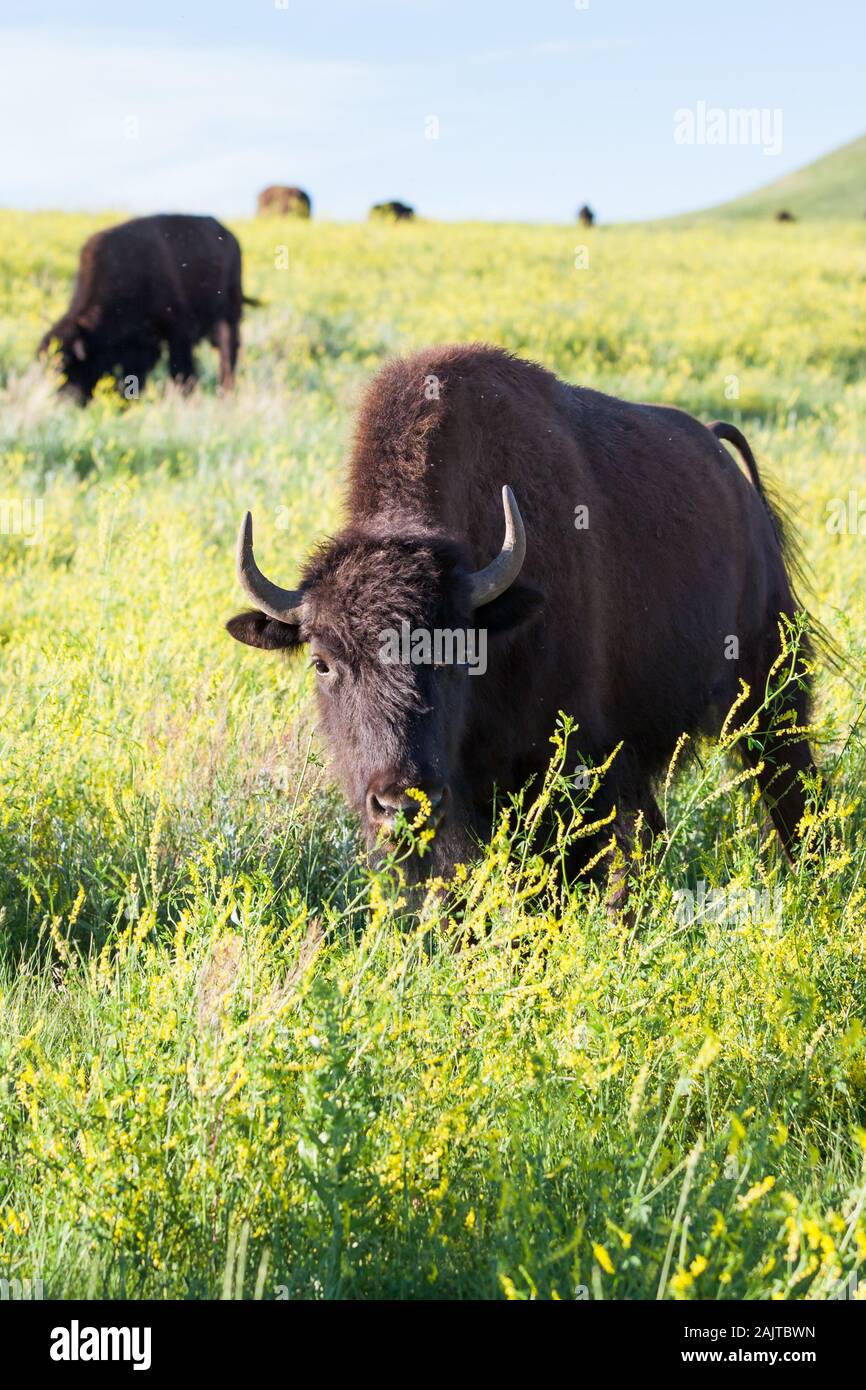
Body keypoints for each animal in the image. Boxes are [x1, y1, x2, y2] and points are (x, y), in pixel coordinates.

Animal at [39, 214, 254, 403]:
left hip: (229, 315)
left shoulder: (178, 330)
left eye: (72, 366)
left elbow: (180, 368)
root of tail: (230, 237)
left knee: (228, 352)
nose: (67, 399)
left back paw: (226, 391)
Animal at [227, 345, 818, 898]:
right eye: (322, 663)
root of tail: (732, 477)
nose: (401, 804)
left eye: (458, 655)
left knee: (792, 795)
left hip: (770, 696)